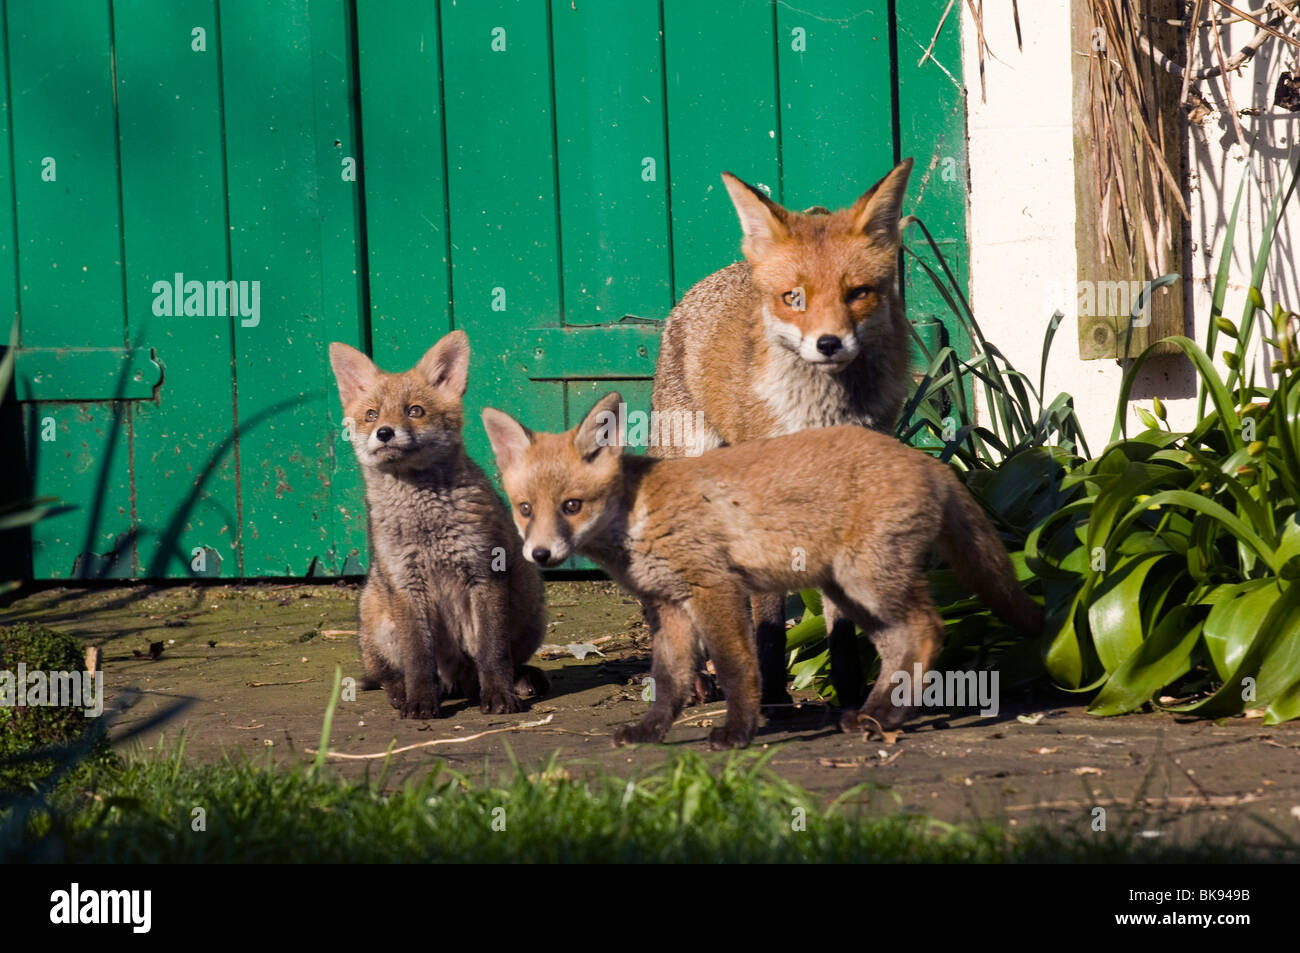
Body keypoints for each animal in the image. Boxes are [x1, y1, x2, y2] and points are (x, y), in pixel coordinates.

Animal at [328, 330, 547, 719]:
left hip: (530, 595)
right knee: (388, 675)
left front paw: (499, 696)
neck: (426, 525)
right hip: (376, 609)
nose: (384, 432)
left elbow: (492, 653)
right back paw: (403, 692)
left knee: (492, 667)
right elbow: (418, 659)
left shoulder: (485, 575)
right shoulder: (406, 584)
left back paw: (512, 681)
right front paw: (419, 702)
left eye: (414, 411)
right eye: (371, 415)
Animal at [482, 392, 1042, 750]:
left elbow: (736, 669)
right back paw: (875, 715)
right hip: (855, 594)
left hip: (867, 583)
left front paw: (737, 733)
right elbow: (669, 681)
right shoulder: (669, 607)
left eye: (572, 506)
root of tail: (933, 463)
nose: (540, 556)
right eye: (526, 509)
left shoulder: (716, 588)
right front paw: (649, 733)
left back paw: (882, 715)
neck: (638, 515)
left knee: (928, 631)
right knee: (899, 649)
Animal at [650, 159, 915, 714]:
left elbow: (841, 620)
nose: (829, 343)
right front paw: (771, 694)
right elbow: (769, 617)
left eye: (858, 293)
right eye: (794, 298)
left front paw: (850, 692)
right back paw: (693, 678)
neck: (820, 414)